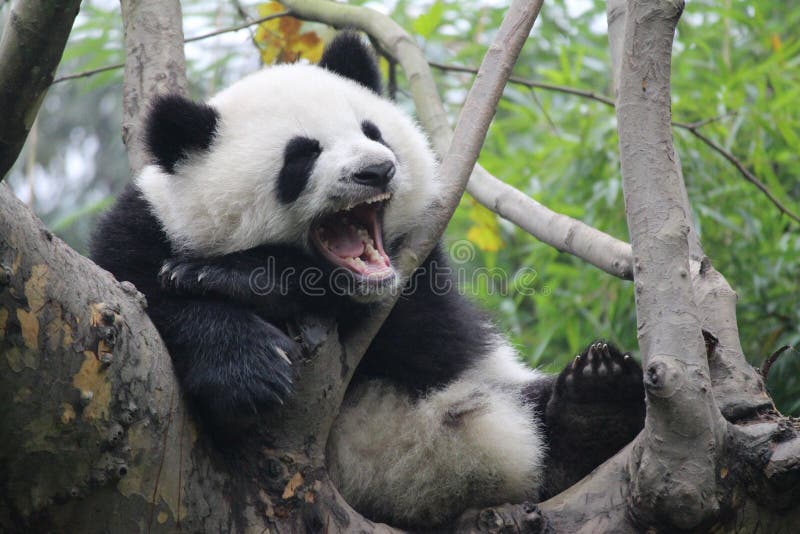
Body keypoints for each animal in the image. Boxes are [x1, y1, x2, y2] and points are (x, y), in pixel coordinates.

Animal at [91, 33, 645, 528]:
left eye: (372, 132)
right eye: (301, 155)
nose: (376, 170)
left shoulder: (419, 272)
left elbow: (421, 336)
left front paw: (241, 276)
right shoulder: (141, 232)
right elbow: (142, 298)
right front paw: (248, 363)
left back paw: (596, 399)